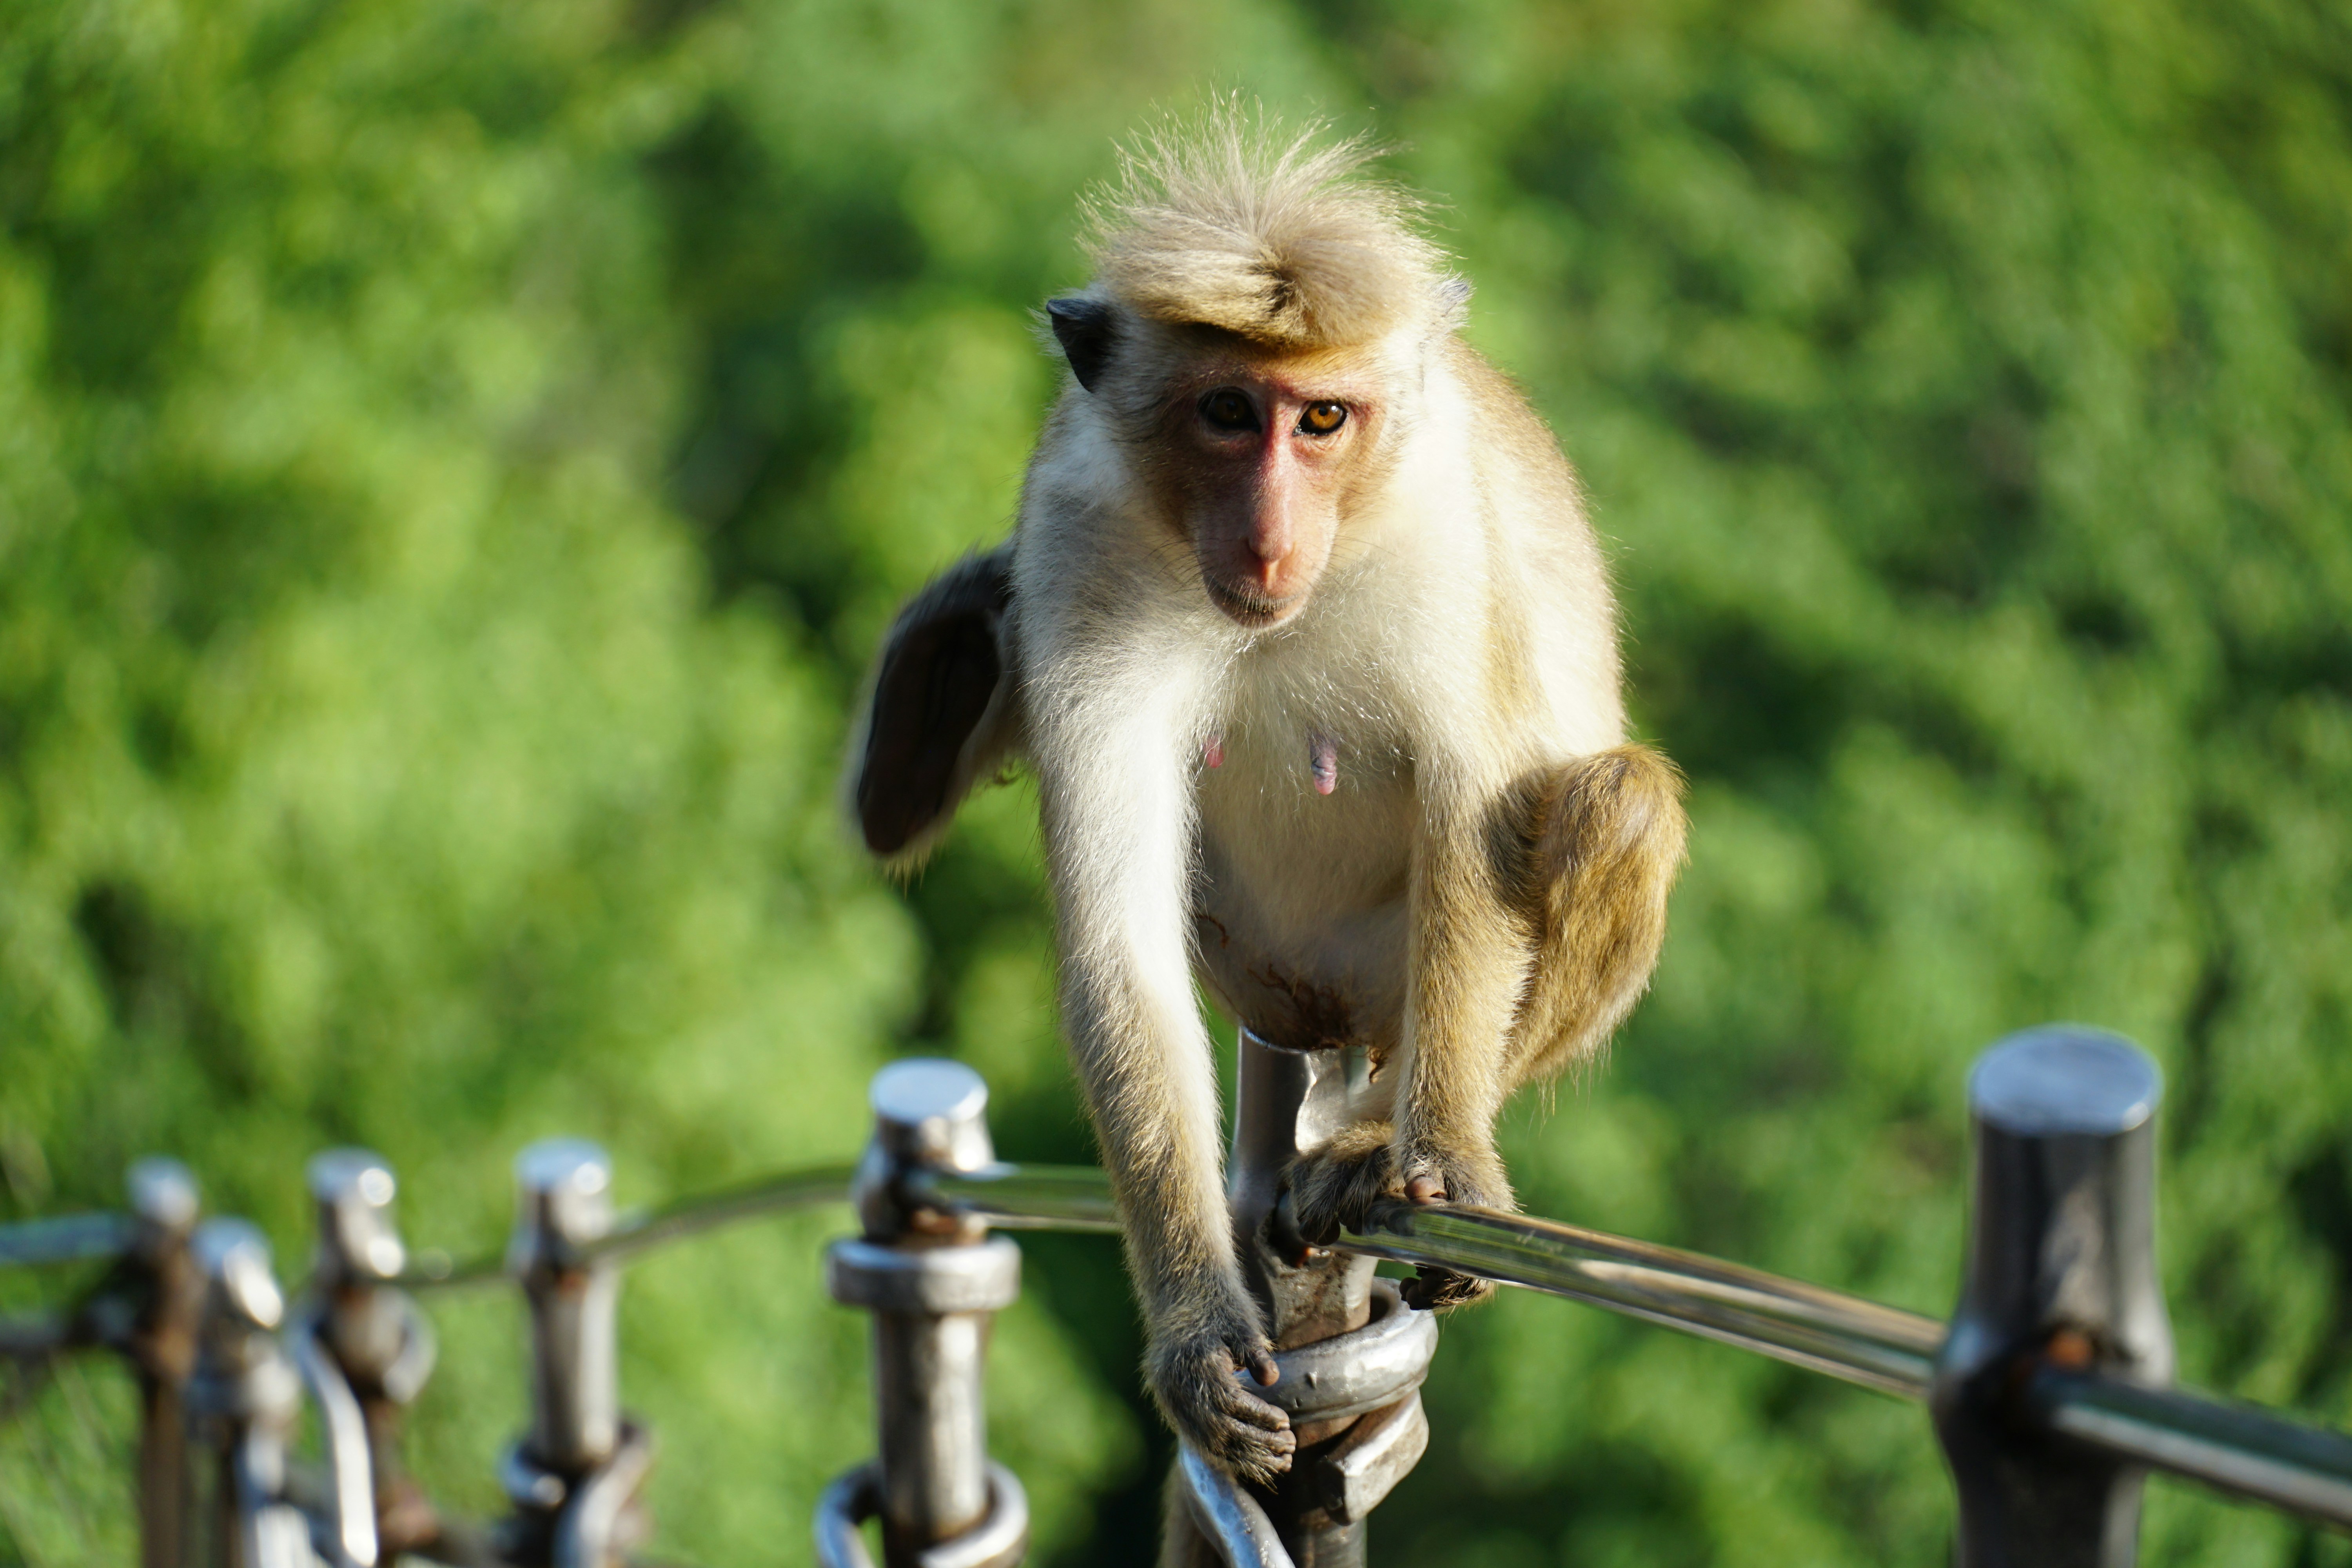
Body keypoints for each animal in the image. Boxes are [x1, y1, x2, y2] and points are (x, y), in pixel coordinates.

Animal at [847, 119, 1687, 1487]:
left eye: (1324, 417)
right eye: (1229, 414)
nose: (1270, 536)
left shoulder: (1443, 533)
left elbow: (1470, 834)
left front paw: (1442, 1154)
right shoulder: (1075, 549)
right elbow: (1119, 939)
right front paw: (1193, 1326)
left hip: (1378, 992)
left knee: (1612, 807)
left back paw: (1369, 1143)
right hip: (1255, 968)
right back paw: (932, 701)